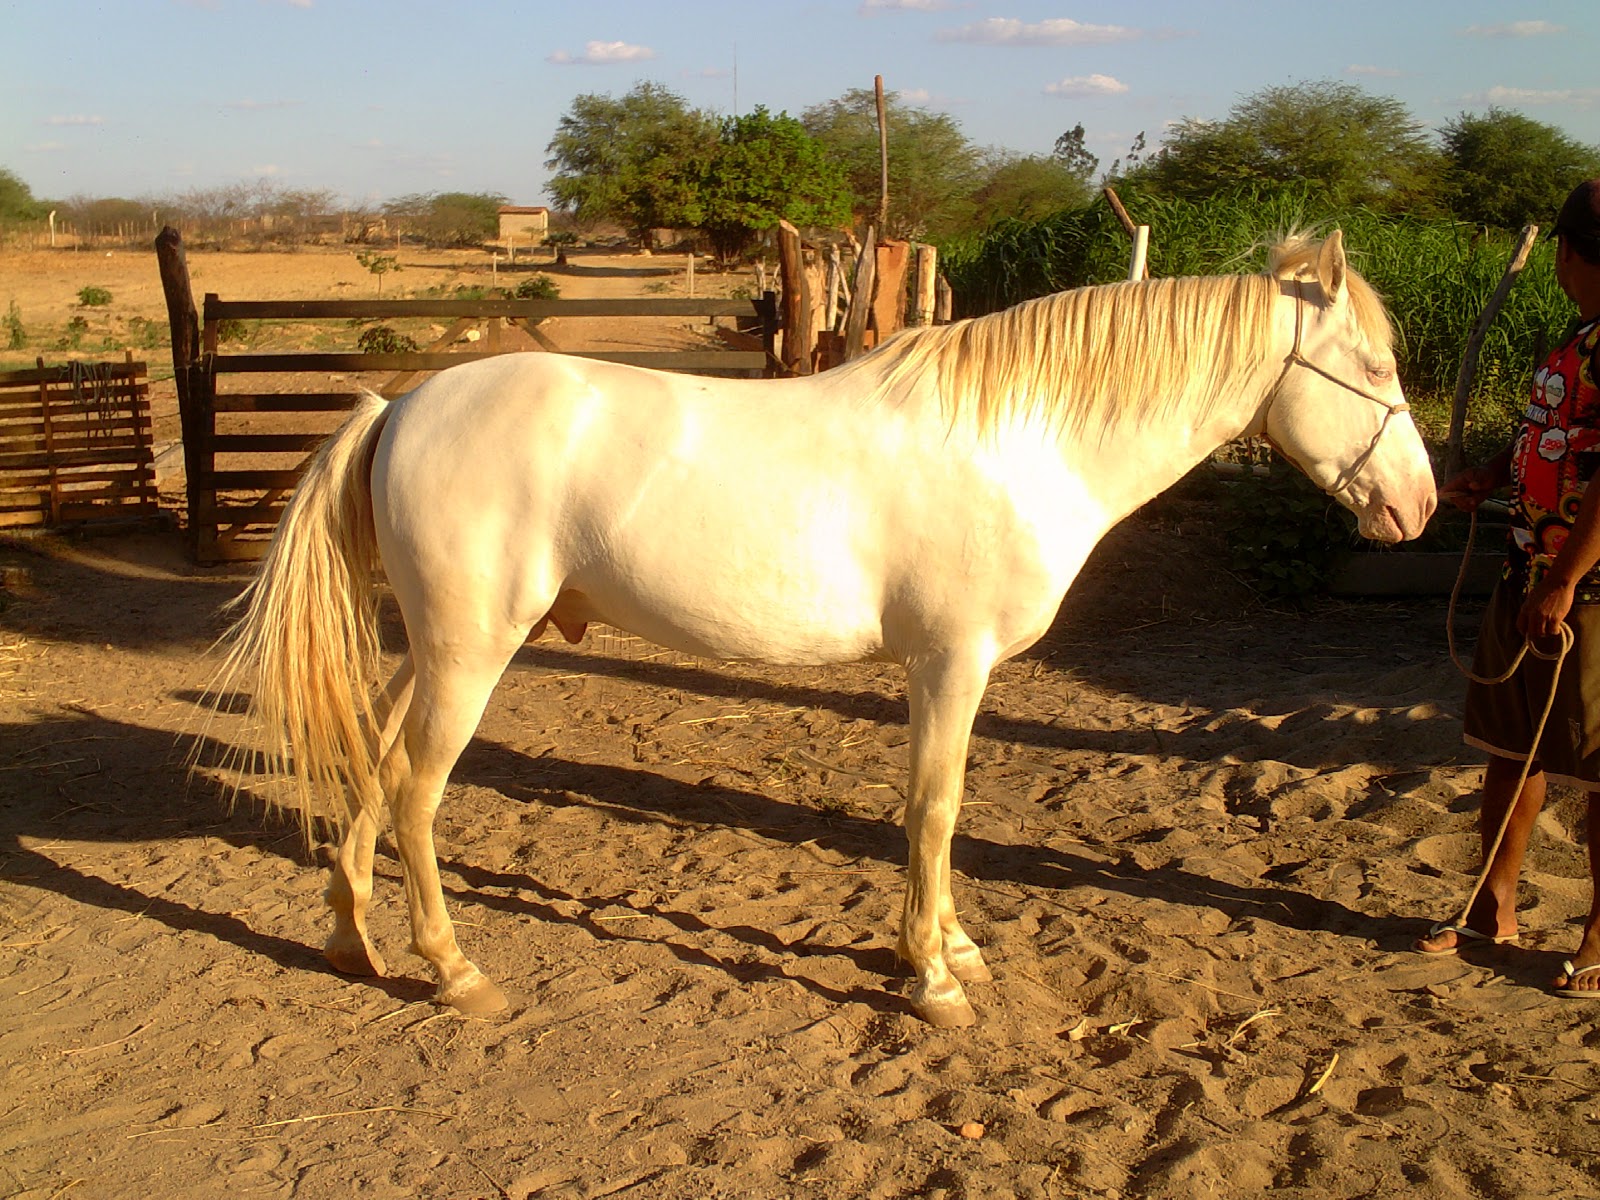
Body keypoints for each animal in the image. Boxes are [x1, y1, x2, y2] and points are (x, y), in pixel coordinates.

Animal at [215, 231, 1437, 1028]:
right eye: (1376, 367)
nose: (1419, 509)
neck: (1021, 439)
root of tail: (400, 406)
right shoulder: (950, 664)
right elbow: (935, 811)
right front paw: (933, 978)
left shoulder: (946, 673)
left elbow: (936, 812)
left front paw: (950, 947)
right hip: (471, 655)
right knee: (416, 793)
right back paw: (453, 970)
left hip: (431, 653)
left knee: (371, 765)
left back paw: (351, 937)